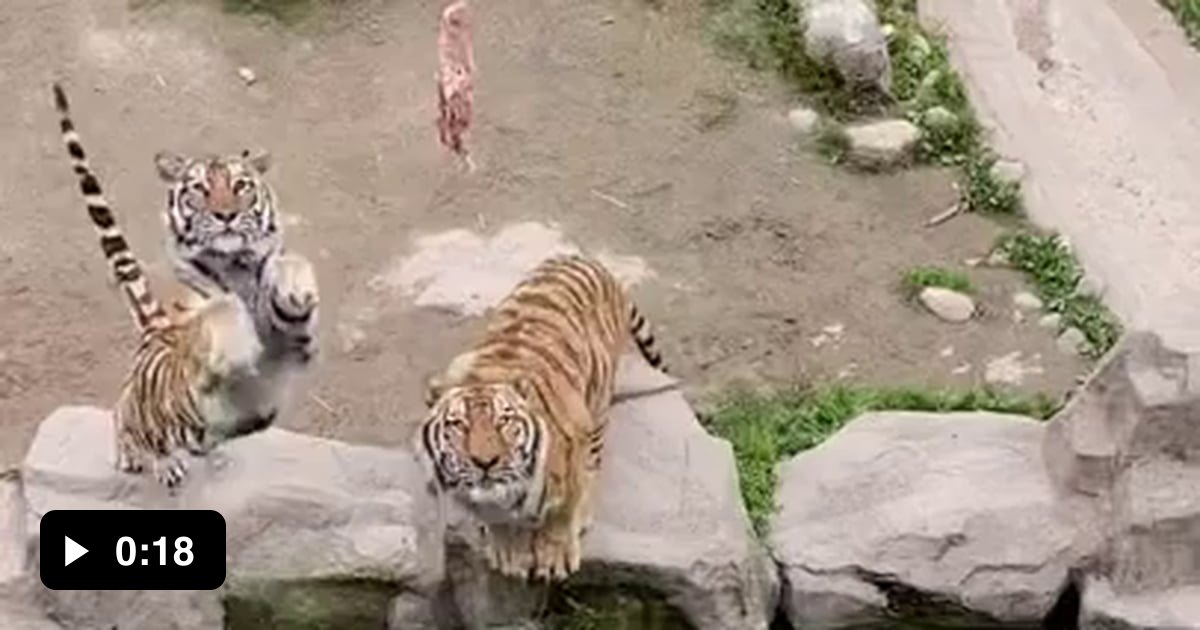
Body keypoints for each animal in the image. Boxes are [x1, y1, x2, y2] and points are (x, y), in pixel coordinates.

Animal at [52, 82, 318, 488]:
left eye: (241, 186)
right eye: (200, 189)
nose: (225, 215)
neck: (235, 267)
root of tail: (154, 332)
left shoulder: (290, 349)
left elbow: (287, 281)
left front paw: (291, 280)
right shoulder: (213, 384)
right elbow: (222, 313)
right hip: (141, 415)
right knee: (128, 421)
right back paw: (147, 459)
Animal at [415, 254, 668, 581]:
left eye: (504, 422)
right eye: (458, 425)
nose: (485, 462)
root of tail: (588, 260)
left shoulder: (575, 437)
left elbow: (564, 507)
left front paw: (556, 555)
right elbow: (497, 519)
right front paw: (507, 549)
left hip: (598, 405)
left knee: (593, 463)